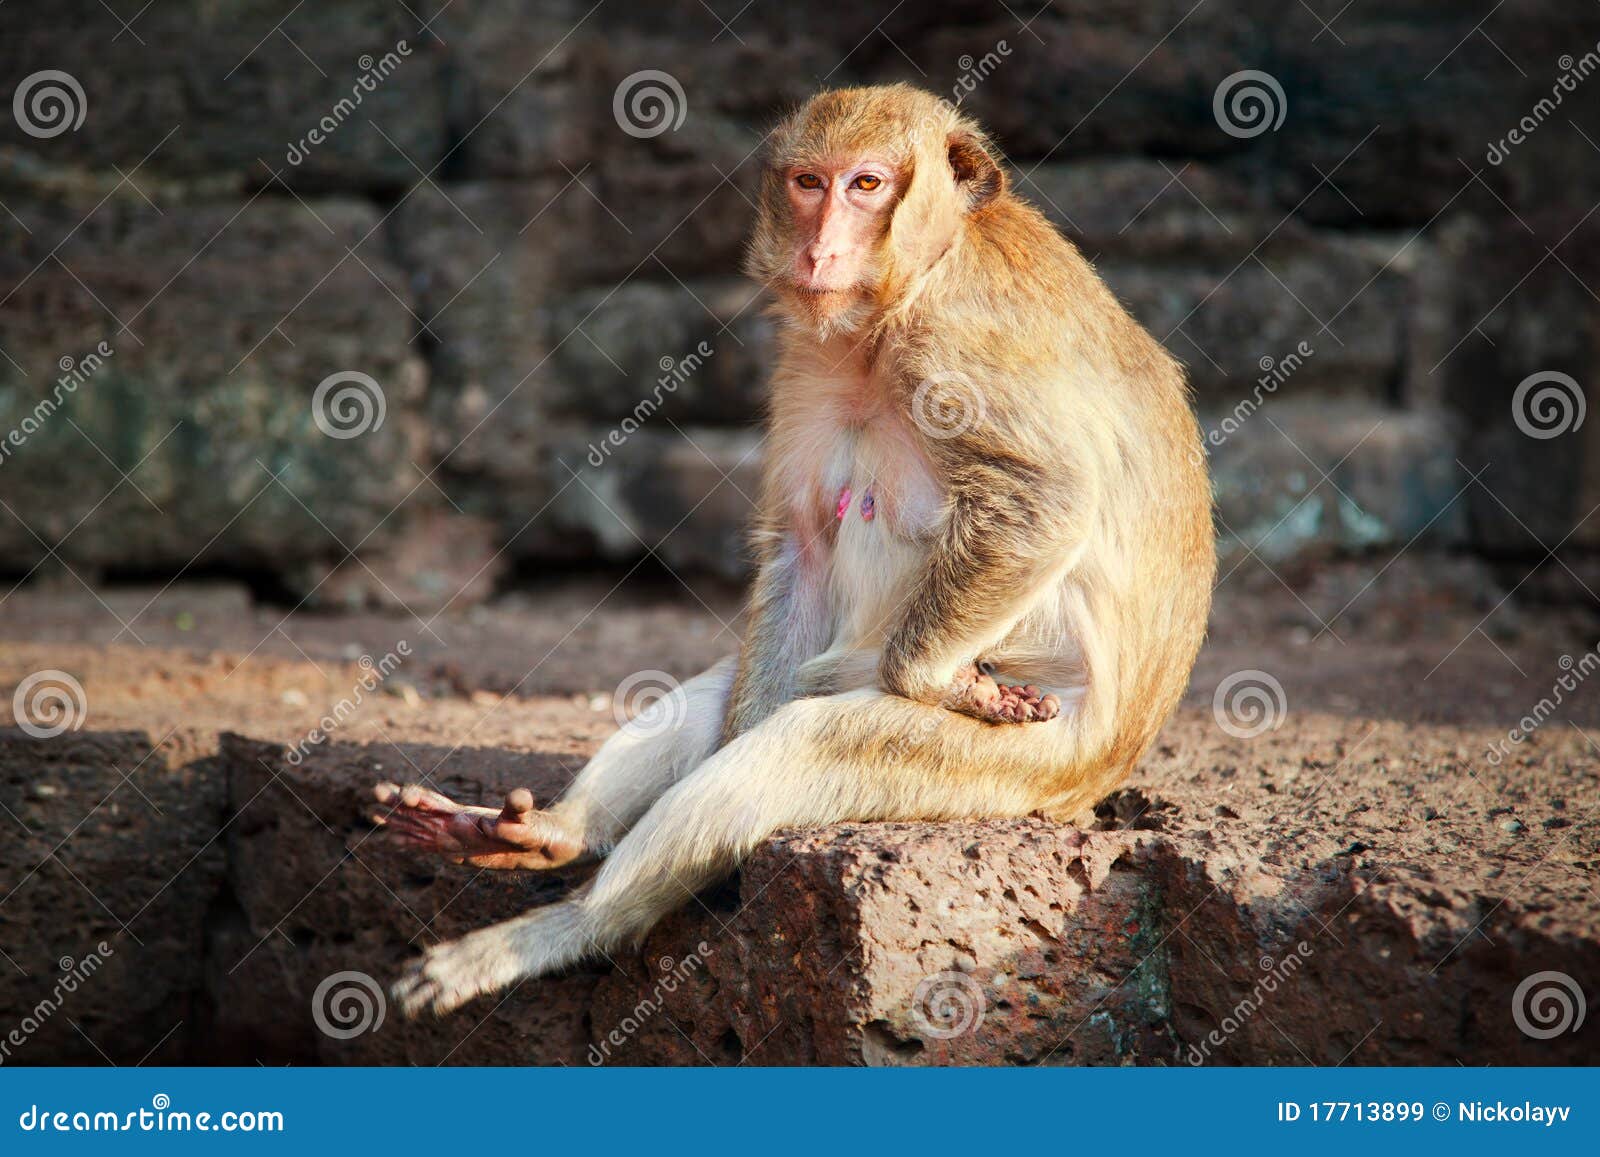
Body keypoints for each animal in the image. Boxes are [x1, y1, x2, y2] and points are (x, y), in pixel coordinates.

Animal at [371, 83, 1215, 1017]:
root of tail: (1100, 779)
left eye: (868, 184)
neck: (891, 309)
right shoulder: (810, 359)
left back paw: (573, 926)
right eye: (810, 182)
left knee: (803, 747)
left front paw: (935, 678)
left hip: (1025, 763)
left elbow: (1048, 496)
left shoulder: (960, 341)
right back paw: (552, 835)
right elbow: (802, 545)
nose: (820, 245)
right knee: (731, 697)